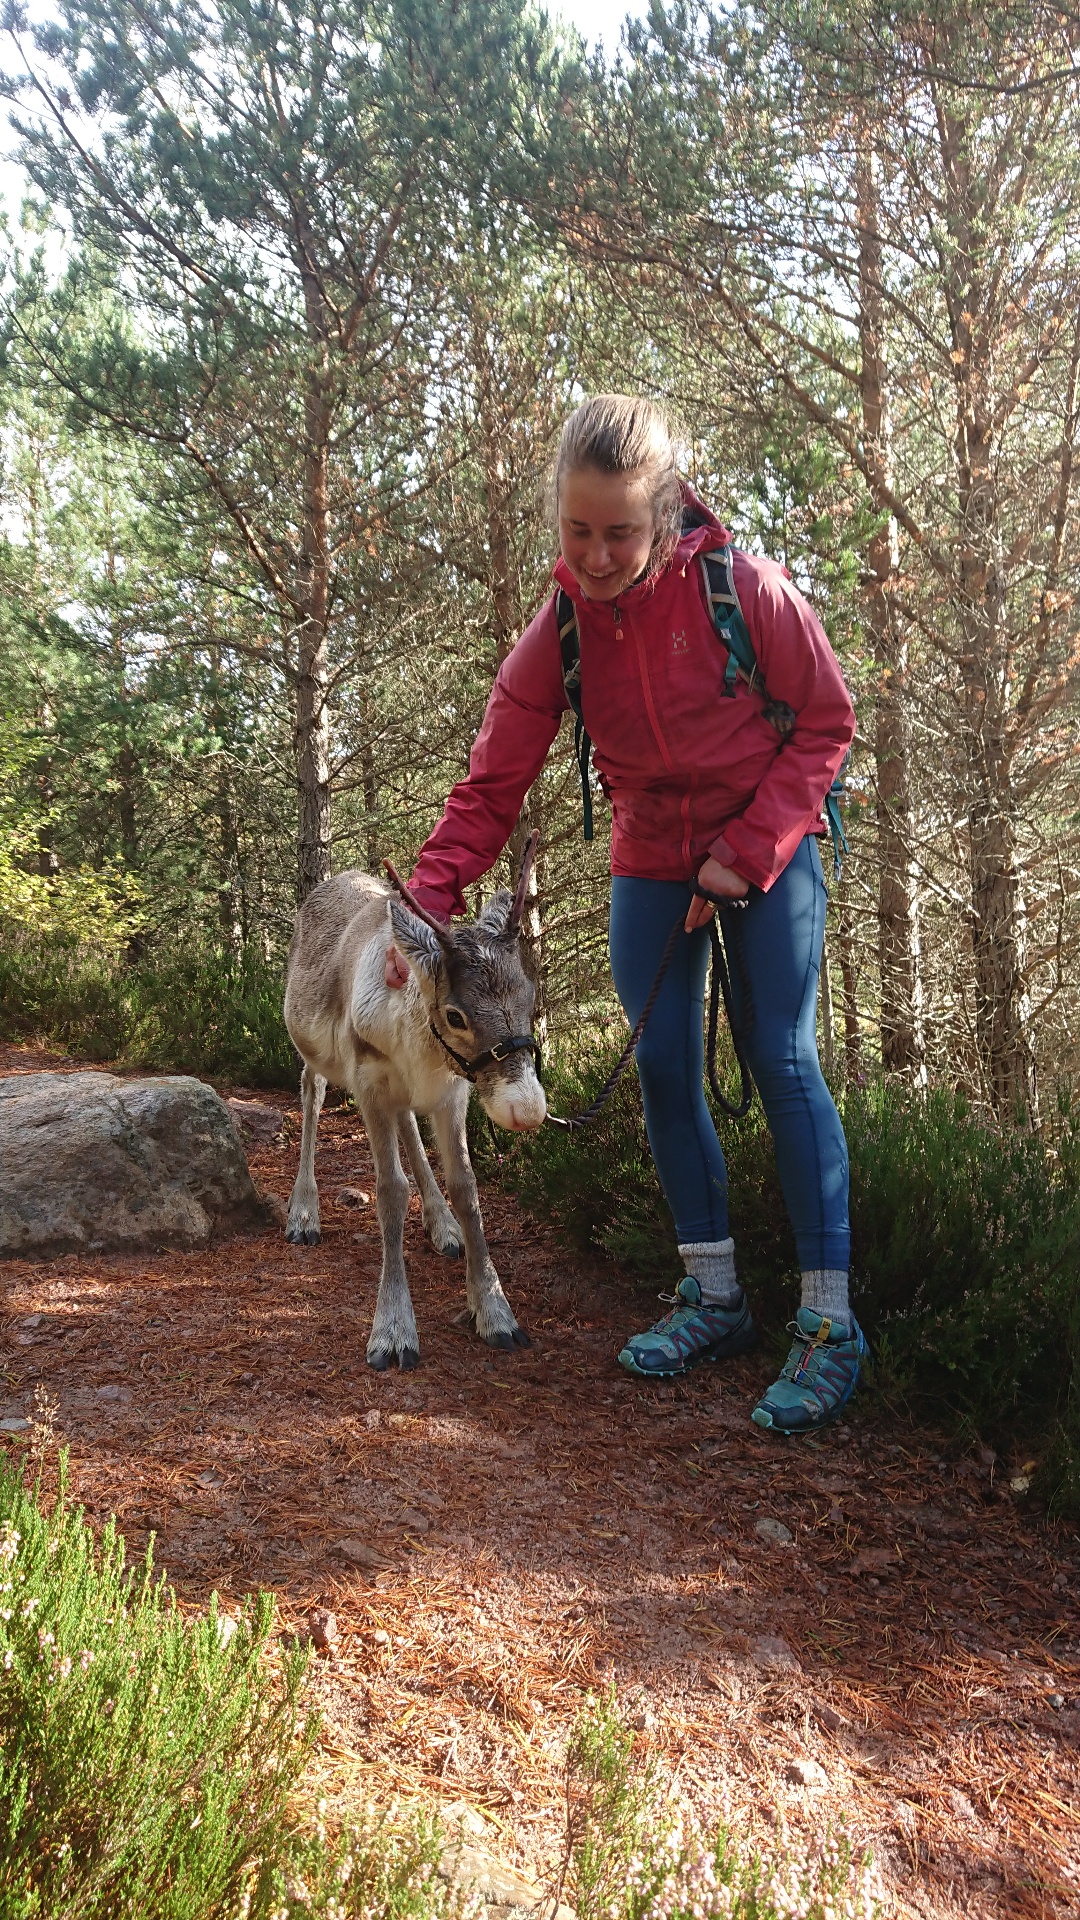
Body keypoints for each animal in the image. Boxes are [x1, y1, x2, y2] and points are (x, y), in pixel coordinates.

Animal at [282, 834, 546, 1370]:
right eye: (456, 1015)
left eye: (530, 997)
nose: (527, 1110)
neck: (419, 1050)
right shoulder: (369, 1083)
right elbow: (390, 1191)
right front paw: (393, 1330)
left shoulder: (452, 1092)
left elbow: (466, 1187)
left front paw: (495, 1311)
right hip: (315, 1052)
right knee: (311, 1092)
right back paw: (303, 1213)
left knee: (408, 1123)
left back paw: (442, 1226)